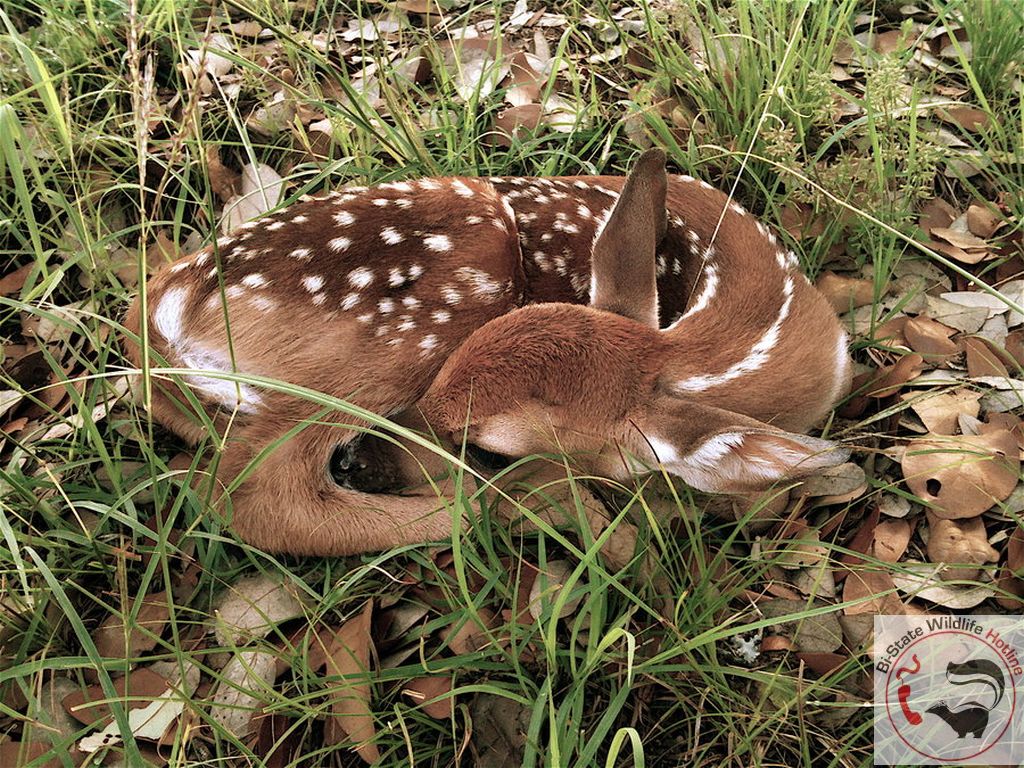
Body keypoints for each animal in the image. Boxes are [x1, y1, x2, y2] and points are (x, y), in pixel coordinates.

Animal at [122, 149, 852, 557]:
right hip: (435, 297)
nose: (363, 462)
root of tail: (163, 310)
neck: (769, 314)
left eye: (494, 442)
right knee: (258, 498)